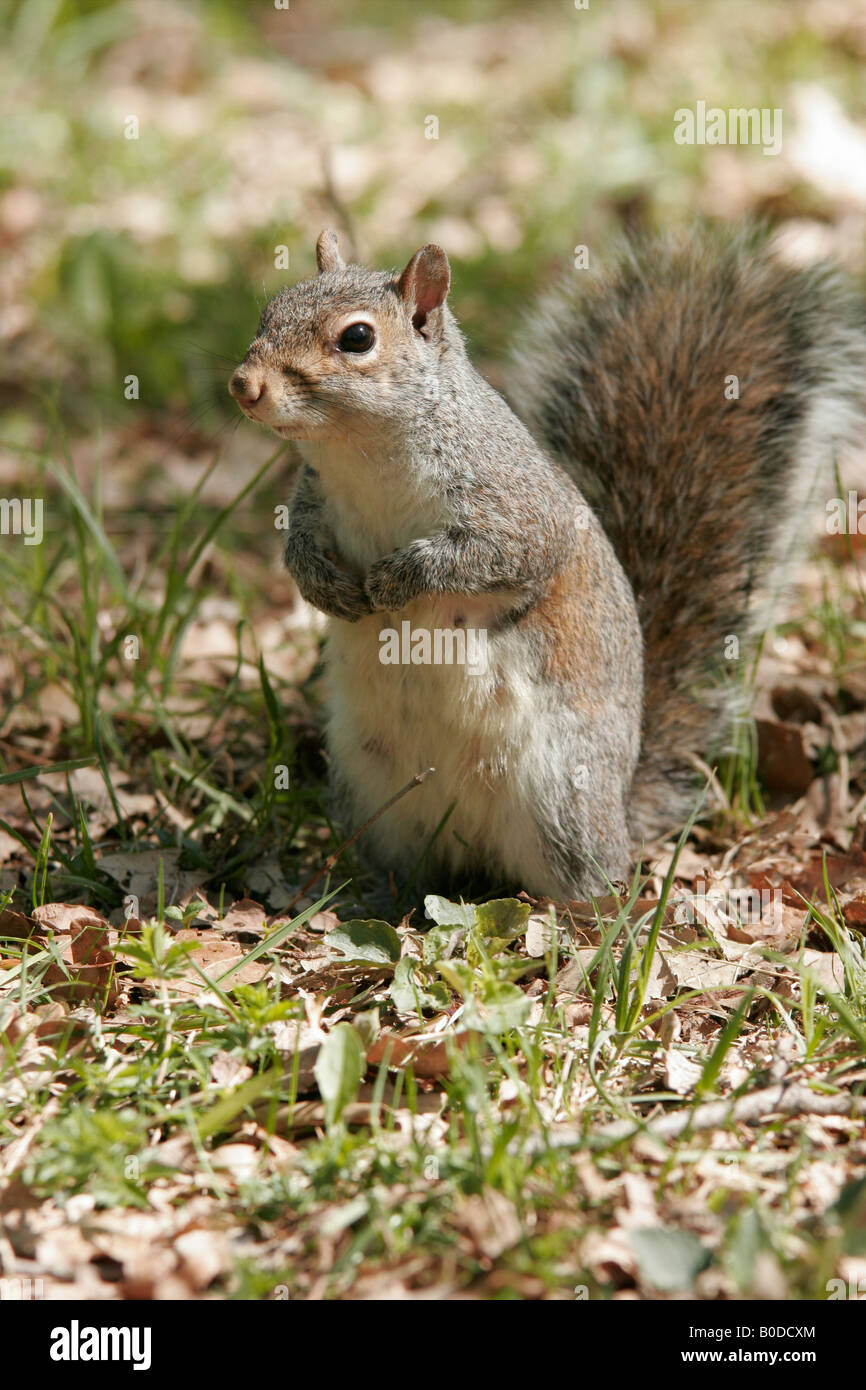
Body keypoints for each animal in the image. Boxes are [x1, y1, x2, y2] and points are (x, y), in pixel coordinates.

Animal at [229, 226, 866, 900]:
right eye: (271, 311)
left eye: (357, 338)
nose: (245, 384)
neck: (360, 456)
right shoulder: (313, 500)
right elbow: (298, 549)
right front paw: (329, 589)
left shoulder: (518, 506)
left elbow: (501, 555)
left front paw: (396, 579)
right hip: (370, 786)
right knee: (405, 863)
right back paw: (367, 895)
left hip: (564, 796)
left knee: (591, 877)